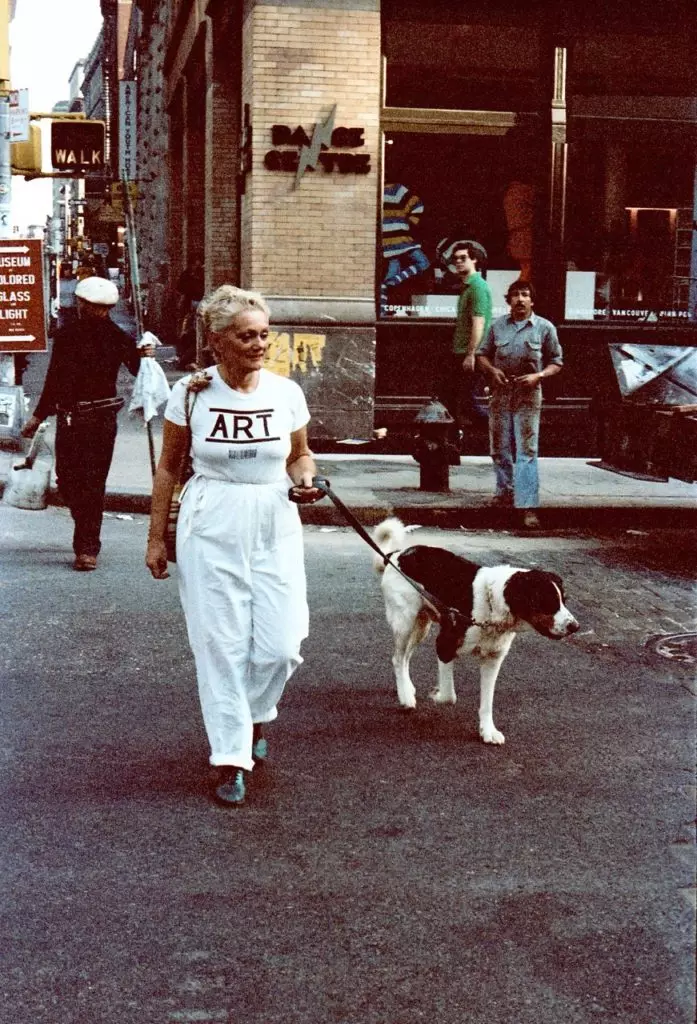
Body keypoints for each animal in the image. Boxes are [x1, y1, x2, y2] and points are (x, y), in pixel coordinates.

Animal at [372, 520, 577, 745]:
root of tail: (396, 555)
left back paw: (407, 689)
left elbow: (487, 703)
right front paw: (436, 695)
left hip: (421, 625)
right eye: (547, 602)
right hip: (405, 621)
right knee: (398, 658)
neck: (491, 606)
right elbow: (449, 696)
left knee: (406, 657)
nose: (575, 627)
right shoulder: (444, 645)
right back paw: (406, 697)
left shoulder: (493, 661)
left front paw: (487, 731)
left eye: (564, 600)